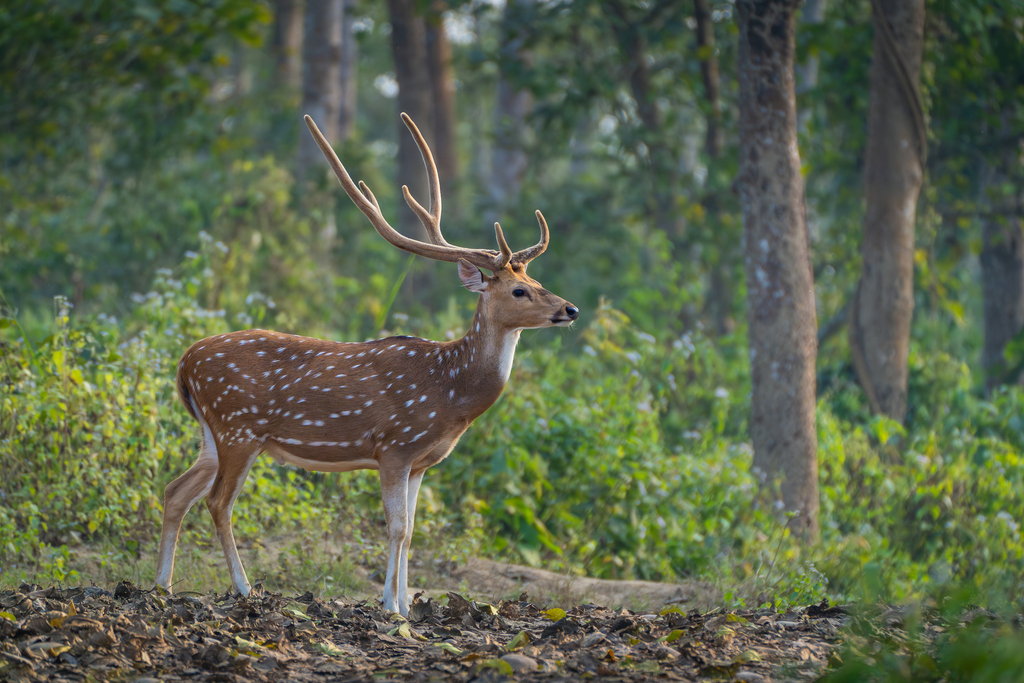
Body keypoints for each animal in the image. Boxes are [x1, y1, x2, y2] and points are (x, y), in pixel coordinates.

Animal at [154, 113, 579, 616]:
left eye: (537, 279)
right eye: (518, 290)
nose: (570, 309)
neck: (451, 394)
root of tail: (184, 362)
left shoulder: (421, 462)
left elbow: (411, 531)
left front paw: (404, 604)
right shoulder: (394, 445)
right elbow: (397, 527)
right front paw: (392, 607)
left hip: (212, 432)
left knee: (176, 491)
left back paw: (162, 585)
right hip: (239, 426)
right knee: (218, 502)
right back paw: (243, 588)